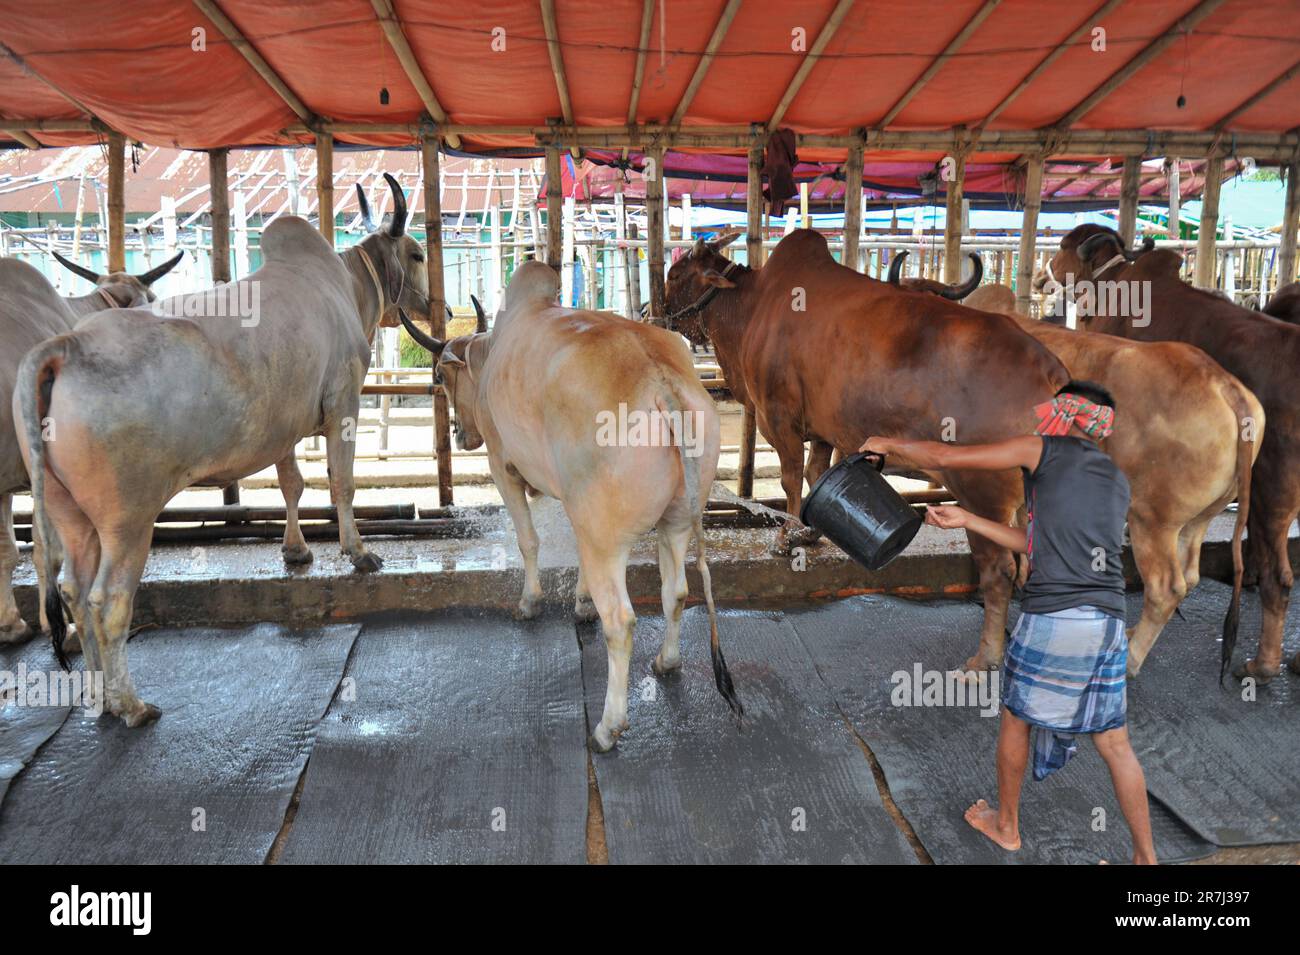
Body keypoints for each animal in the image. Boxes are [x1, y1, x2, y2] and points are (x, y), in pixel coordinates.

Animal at [397, 260, 740, 752]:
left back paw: (607, 727)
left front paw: (530, 602)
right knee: (675, 592)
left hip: (606, 535)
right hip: (672, 522)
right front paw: (580, 601)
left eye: (440, 379)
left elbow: (528, 540)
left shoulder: (504, 466)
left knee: (622, 621)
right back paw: (666, 661)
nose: (462, 435)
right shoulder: (573, 502)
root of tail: (663, 385)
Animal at [664, 228, 1070, 673]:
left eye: (673, 274)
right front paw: (813, 531)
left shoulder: (779, 416)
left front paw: (786, 538)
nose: (655, 310)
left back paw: (984, 658)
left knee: (999, 571)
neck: (752, 304)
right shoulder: (824, 428)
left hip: (982, 495)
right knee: (1030, 563)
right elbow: (814, 473)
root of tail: (1050, 372)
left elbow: (790, 478)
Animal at [892, 270, 1262, 676]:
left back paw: (1130, 660)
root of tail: (1225, 386)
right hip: (1197, 520)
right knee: (1191, 574)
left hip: (1153, 520)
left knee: (1166, 587)